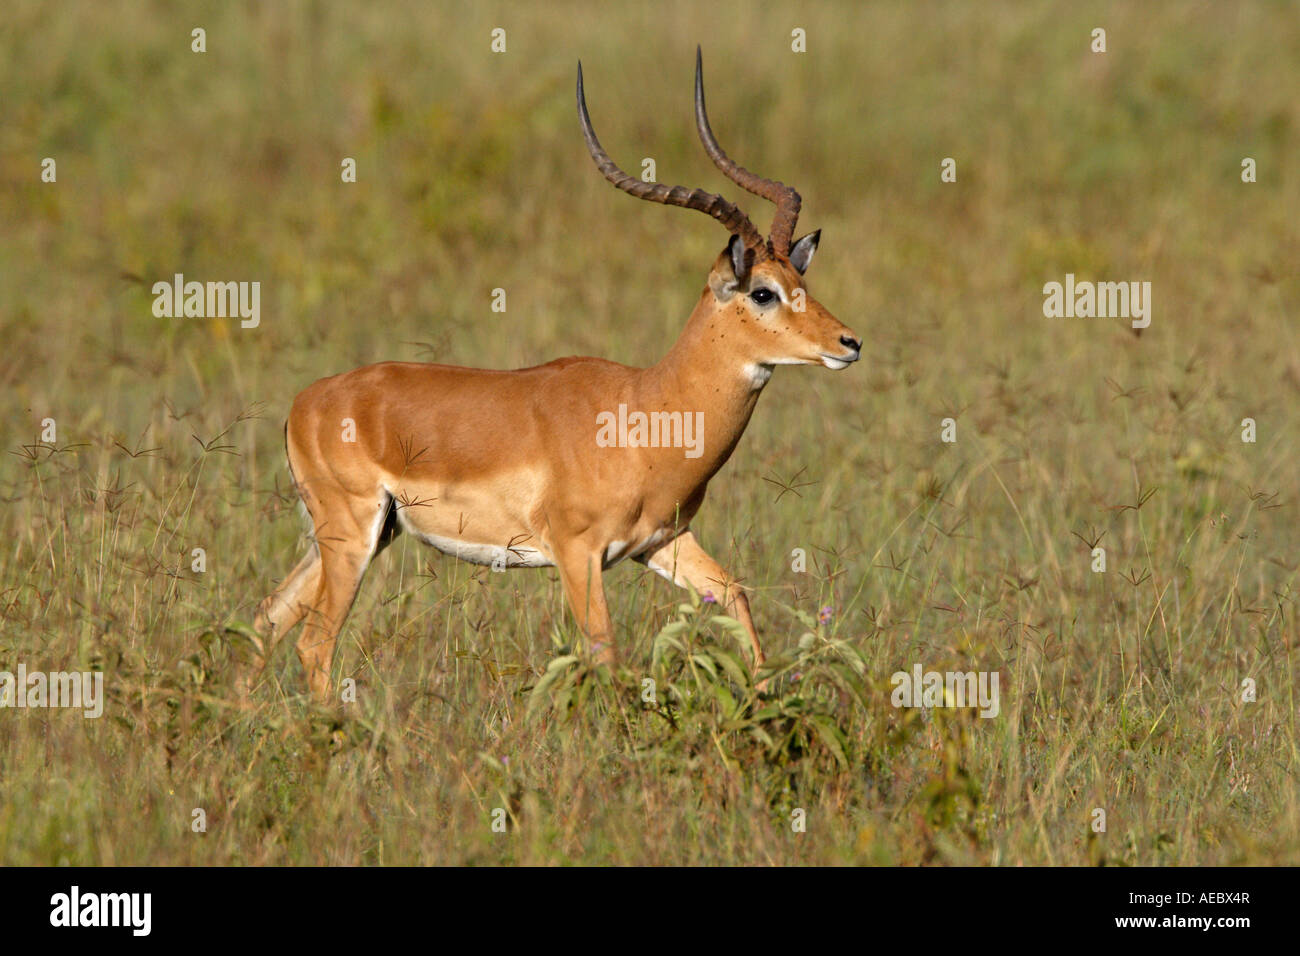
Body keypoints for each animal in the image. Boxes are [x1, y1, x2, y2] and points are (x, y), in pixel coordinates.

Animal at [235, 49, 861, 702]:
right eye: (763, 292)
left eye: (801, 281)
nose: (850, 343)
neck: (646, 410)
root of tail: (304, 403)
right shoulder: (578, 553)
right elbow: (605, 654)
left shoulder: (661, 543)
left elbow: (736, 596)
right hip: (351, 535)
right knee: (313, 643)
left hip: (359, 536)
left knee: (265, 619)